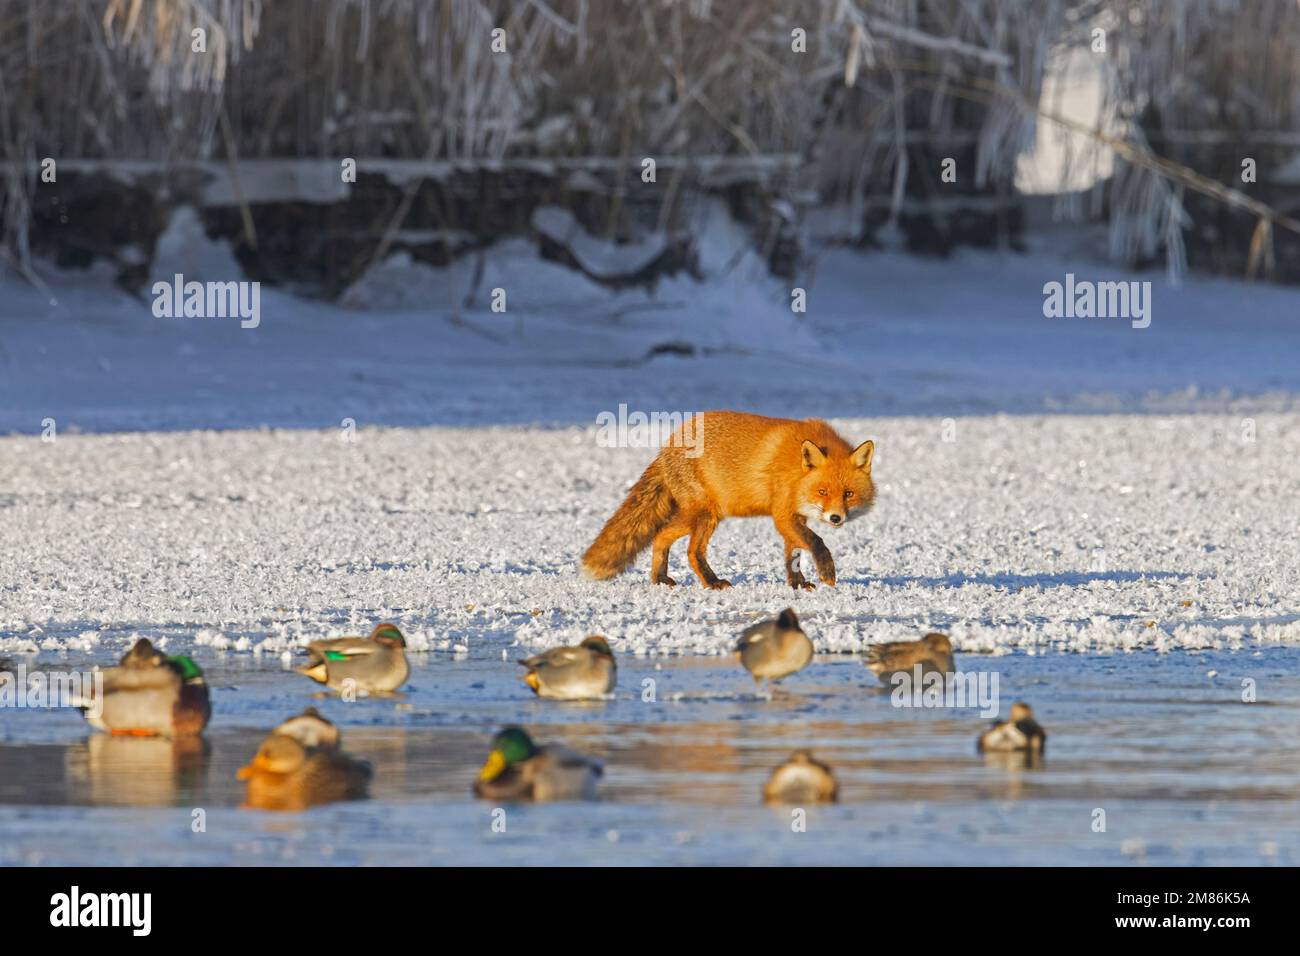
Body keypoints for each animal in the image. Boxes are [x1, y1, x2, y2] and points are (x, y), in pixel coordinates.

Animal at [581, 410, 875, 590]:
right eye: (823, 492)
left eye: (848, 494)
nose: (836, 518)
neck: (795, 470)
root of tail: (667, 445)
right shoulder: (782, 514)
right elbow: (815, 542)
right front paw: (826, 571)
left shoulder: (795, 516)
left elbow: (793, 554)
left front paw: (797, 584)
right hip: (703, 515)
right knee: (689, 550)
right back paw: (711, 583)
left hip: (703, 516)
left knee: (662, 536)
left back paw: (660, 578)